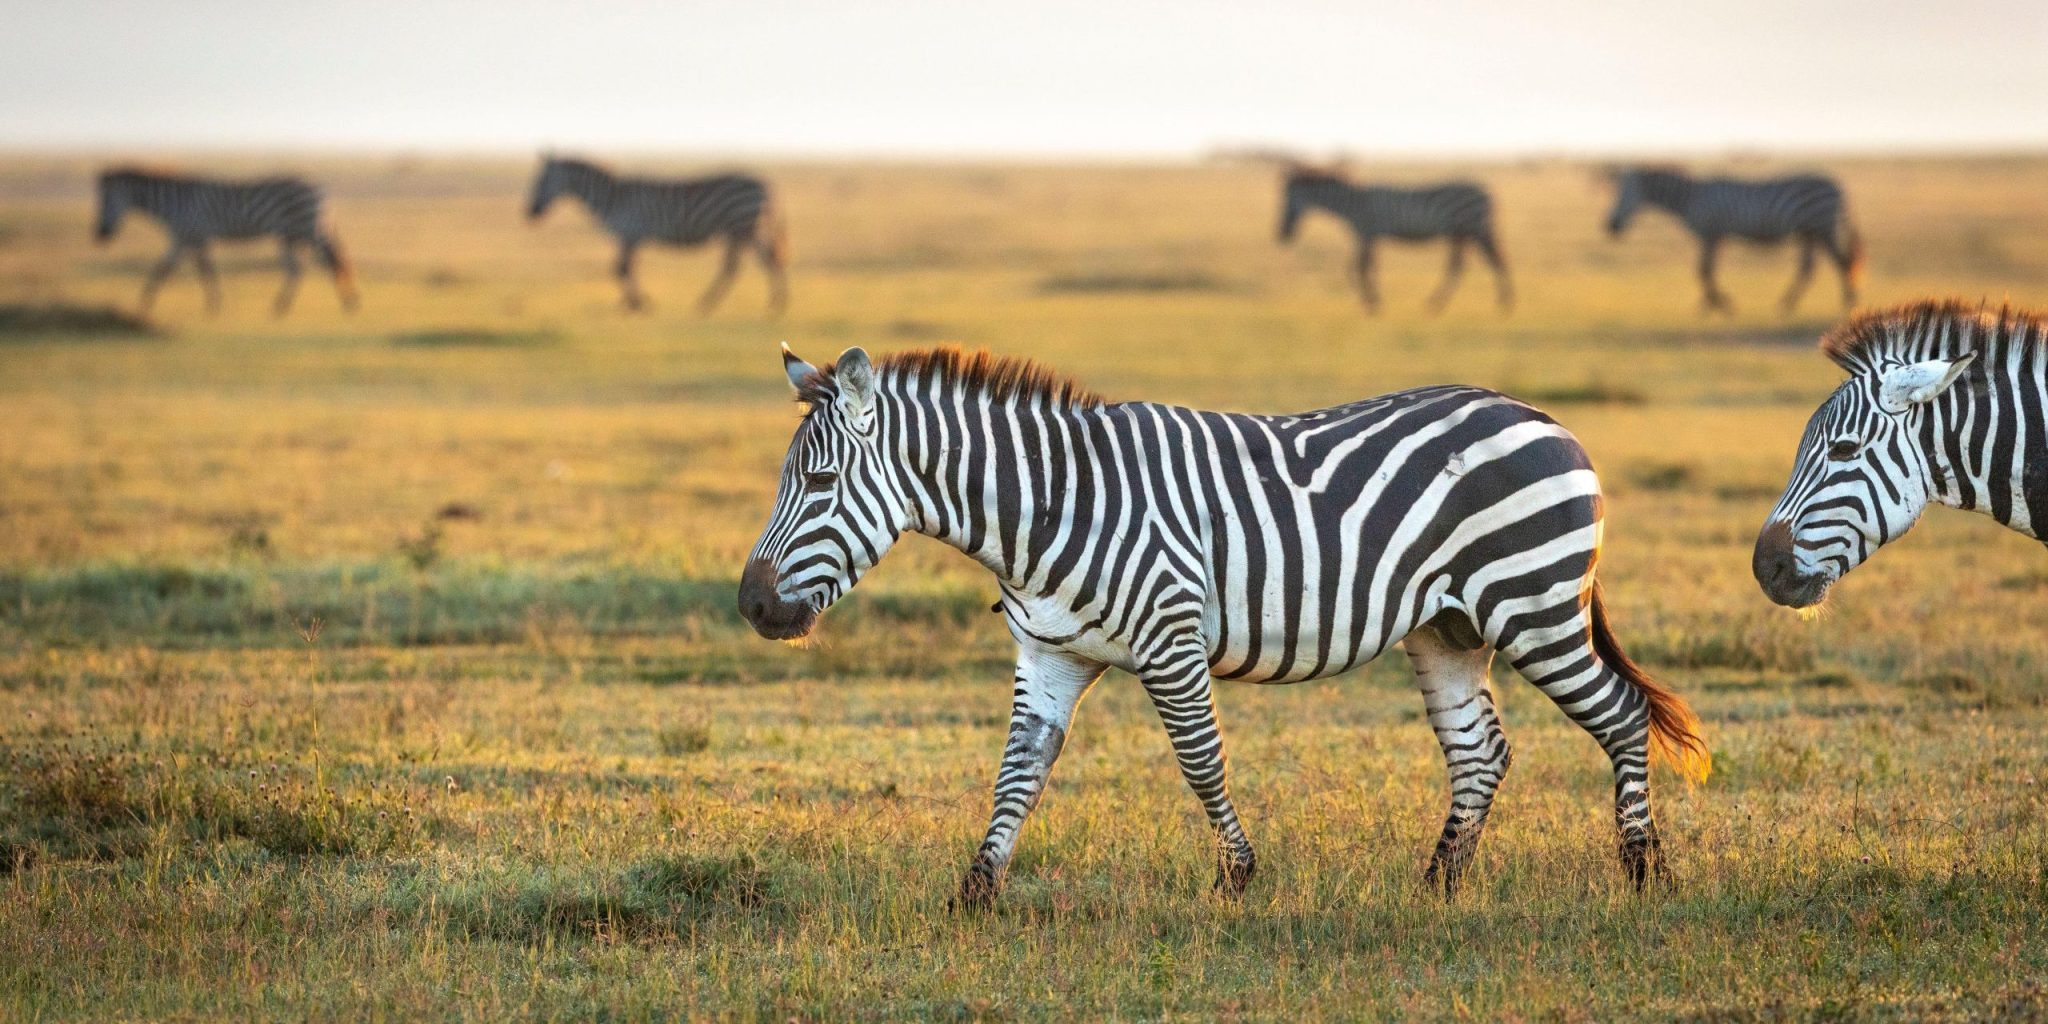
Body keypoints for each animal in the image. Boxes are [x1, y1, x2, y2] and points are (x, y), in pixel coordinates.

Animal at [93, 167, 358, 317]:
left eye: (106, 201)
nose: (100, 234)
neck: (173, 203)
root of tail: (319, 188)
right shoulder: (182, 238)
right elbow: (164, 269)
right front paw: (143, 304)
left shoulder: (194, 233)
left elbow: (204, 271)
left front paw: (214, 306)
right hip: (291, 236)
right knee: (300, 268)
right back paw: (280, 307)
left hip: (307, 229)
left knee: (333, 261)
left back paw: (348, 303)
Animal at [525, 154, 788, 315]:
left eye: (542, 180)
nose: (530, 212)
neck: (611, 197)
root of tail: (767, 186)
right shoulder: (630, 236)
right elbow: (624, 268)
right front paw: (631, 303)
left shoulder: (630, 232)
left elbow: (621, 268)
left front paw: (638, 303)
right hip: (740, 229)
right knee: (749, 263)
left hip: (744, 225)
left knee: (763, 260)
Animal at [739, 343, 1709, 906]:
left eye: (818, 485)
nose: (752, 607)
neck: (1048, 506)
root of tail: (1548, 419)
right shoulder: (1048, 651)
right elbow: (1019, 774)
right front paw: (974, 894)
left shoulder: (1170, 639)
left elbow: (1201, 761)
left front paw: (1239, 879)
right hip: (1448, 628)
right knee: (1481, 753)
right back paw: (1436, 886)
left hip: (1533, 605)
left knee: (1621, 715)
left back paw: (1644, 874)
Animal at [1276, 165, 1513, 315]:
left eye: (1286, 203)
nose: (1281, 235)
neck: (1352, 203)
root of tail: (1489, 192)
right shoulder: (1368, 236)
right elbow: (1361, 267)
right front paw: (1372, 300)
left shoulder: (1366, 232)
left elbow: (1359, 268)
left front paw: (1371, 302)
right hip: (1461, 233)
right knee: (1461, 266)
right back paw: (1438, 304)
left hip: (1475, 229)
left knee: (1496, 261)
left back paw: (1504, 304)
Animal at [1604, 166, 1865, 315]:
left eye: (1624, 196)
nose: (1610, 226)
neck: (1691, 198)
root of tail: (1839, 186)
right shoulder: (1718, 237)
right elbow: (1707, 270)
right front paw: (1709, 304)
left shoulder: (1710, 233)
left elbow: (1703, 270)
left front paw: (1719, 304)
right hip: (1810, 232)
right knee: (1809, 268)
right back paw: (1787, 304)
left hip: (1823, 226)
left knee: (1842, 262)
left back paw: (1850, 304)